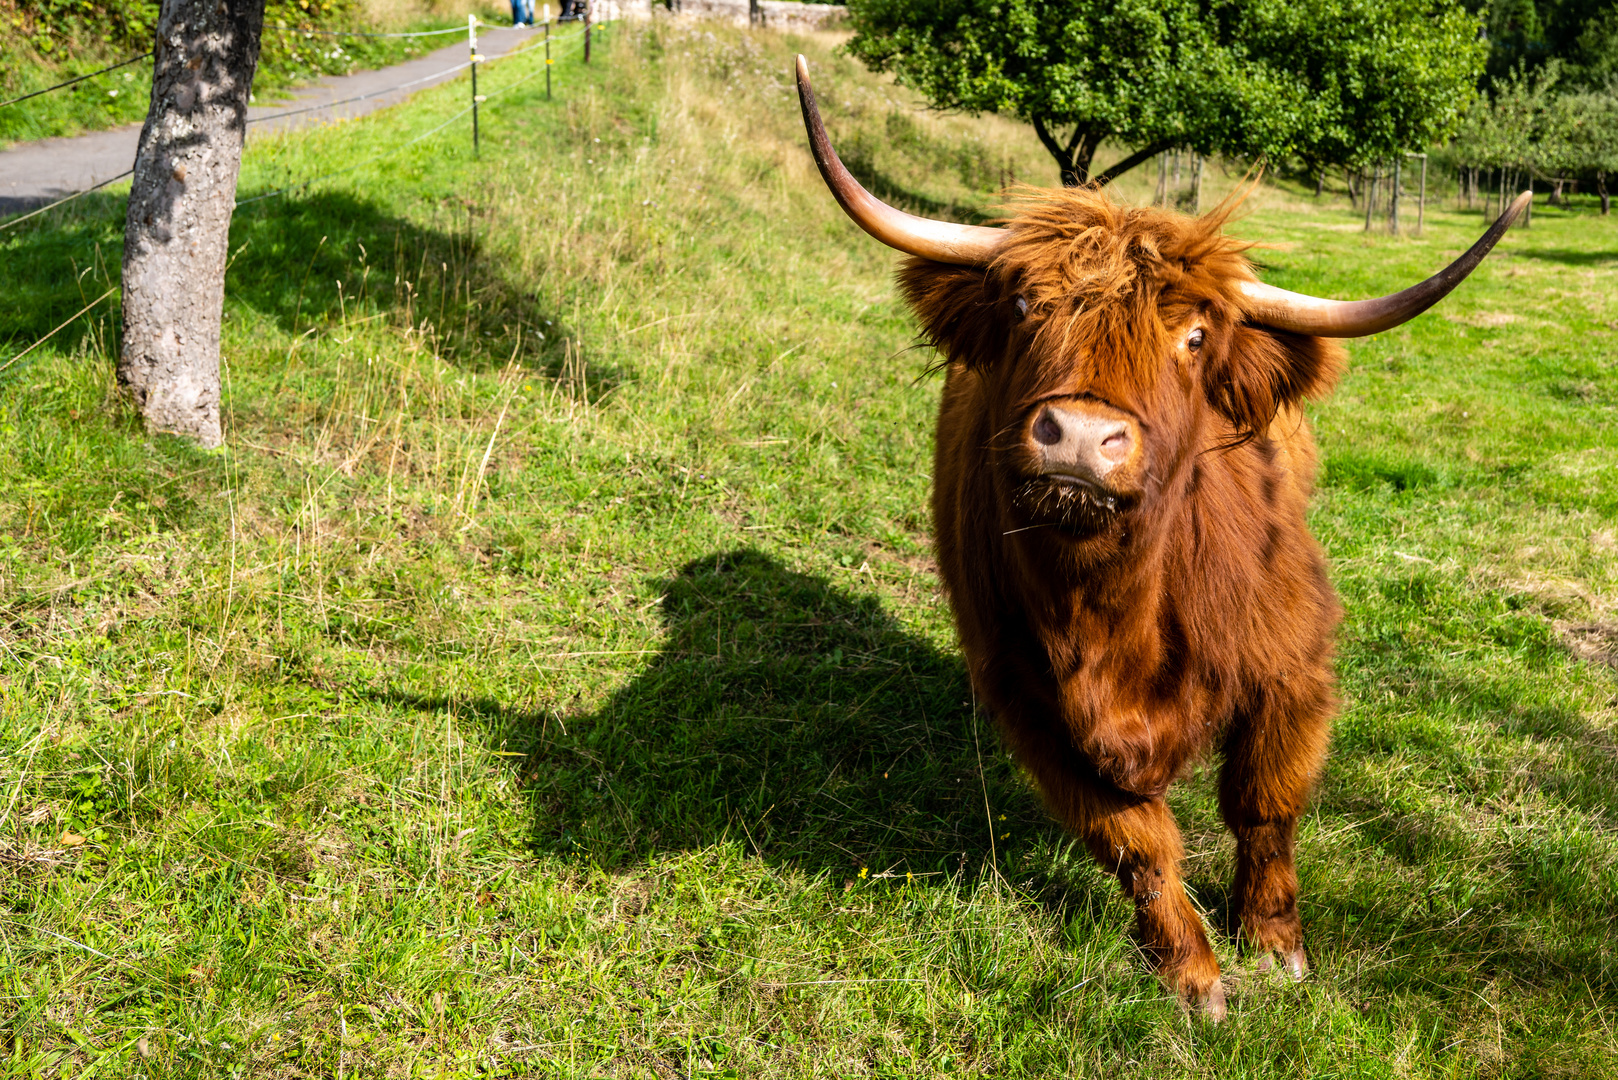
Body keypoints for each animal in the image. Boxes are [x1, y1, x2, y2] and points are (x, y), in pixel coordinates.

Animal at [793, 57, 1529, 1018]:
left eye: (1194, 336)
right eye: (1025, 304)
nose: (1078, 437)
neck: (1115, 608)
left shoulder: (1292, 667)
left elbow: (1264, 806)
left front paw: (1275, 945)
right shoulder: (1032, 702)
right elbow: (1136, 844)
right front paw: (1190, 973)